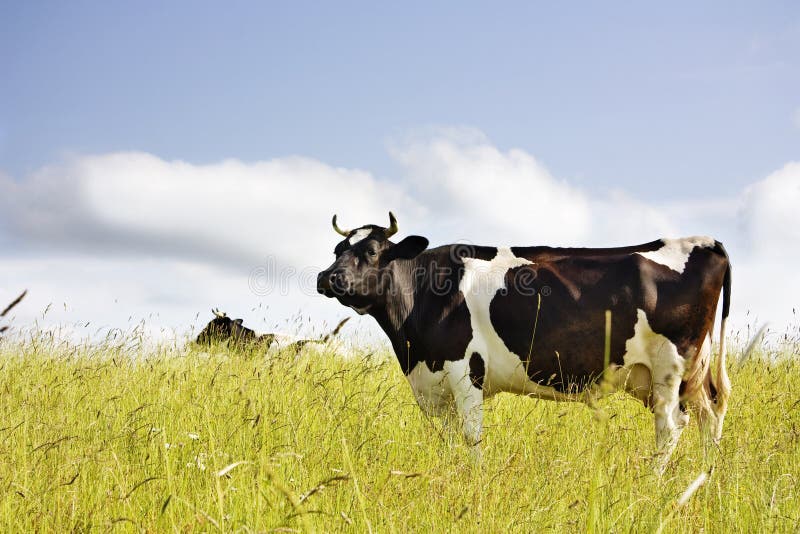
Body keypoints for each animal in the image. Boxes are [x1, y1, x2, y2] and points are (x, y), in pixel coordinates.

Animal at [316, 213, 731, 472]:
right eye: (337, 251)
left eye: (371, 251)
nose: (326, 277)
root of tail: (704, 242)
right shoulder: (434, 386)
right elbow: (449, 441)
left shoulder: (465, 370)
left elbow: (471, 436)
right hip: (692, 372)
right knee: (710, 414)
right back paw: (706, 475)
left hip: (670, 365)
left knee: (671, 424)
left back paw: (654, 481)